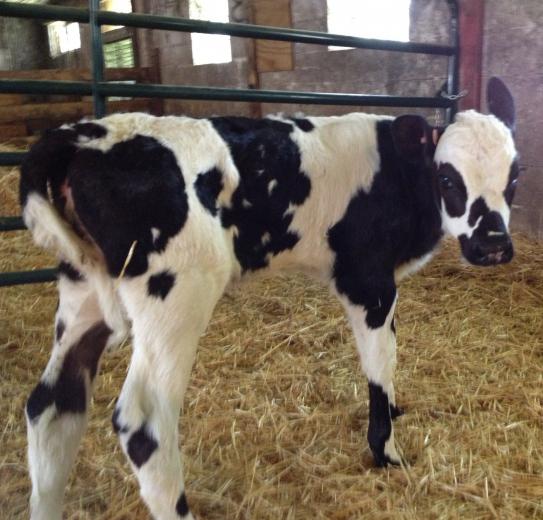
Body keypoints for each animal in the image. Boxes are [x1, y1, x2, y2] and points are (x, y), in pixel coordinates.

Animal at [19, 78, 516, 520]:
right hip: (175, 297)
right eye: (448, 179)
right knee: (143, 424)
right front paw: (386, 450)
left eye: (515, 177)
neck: (395, 174)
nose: (492, 245)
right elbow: (380, 363)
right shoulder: (365, 280)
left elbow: (391, 353)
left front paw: (395, 410)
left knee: (52, 406)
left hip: (83, 295)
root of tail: (76, 137)